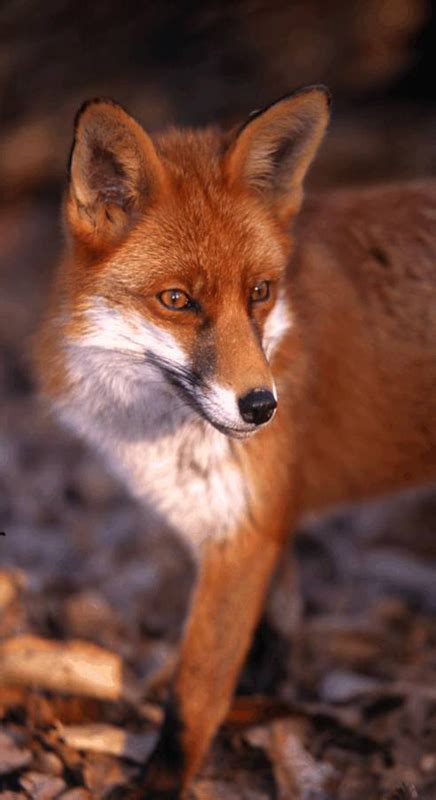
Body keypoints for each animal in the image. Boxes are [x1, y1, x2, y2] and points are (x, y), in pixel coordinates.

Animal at [33, 85, 436, 798]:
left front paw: (159, 785)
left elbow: (195, 694)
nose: (263, 407)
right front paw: (267, 707)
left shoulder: (243, 533)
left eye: (260, 292)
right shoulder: (259, 522)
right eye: (177, 300)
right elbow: (275, 630)